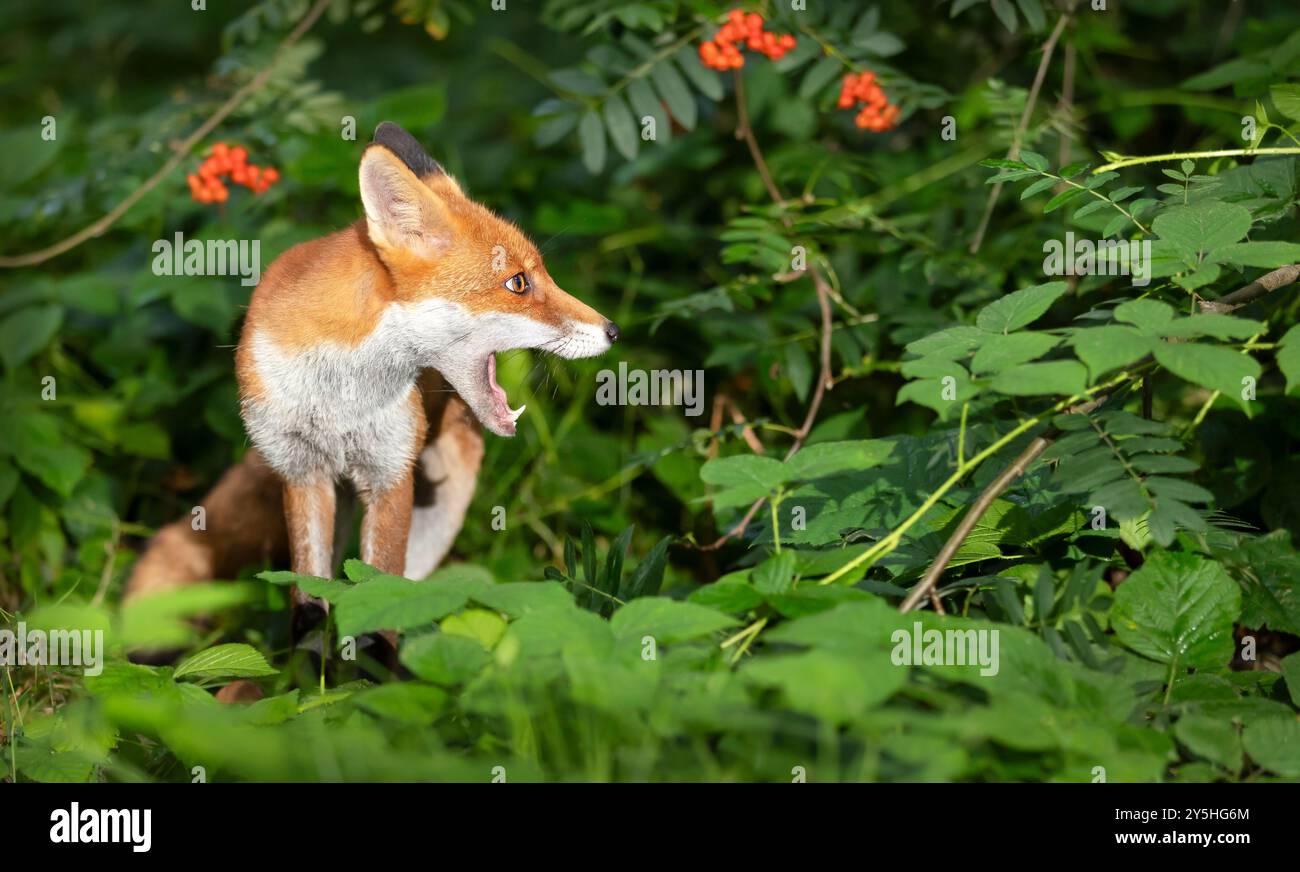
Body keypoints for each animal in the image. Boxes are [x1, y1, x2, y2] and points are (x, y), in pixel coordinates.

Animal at [125, 122, 617, 631]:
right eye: (518, 283)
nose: (613, 330)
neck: (339, 394)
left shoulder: (390, 474)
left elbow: (381, 605)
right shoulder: (302, 473)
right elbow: (308, 603)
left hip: (439, 512)